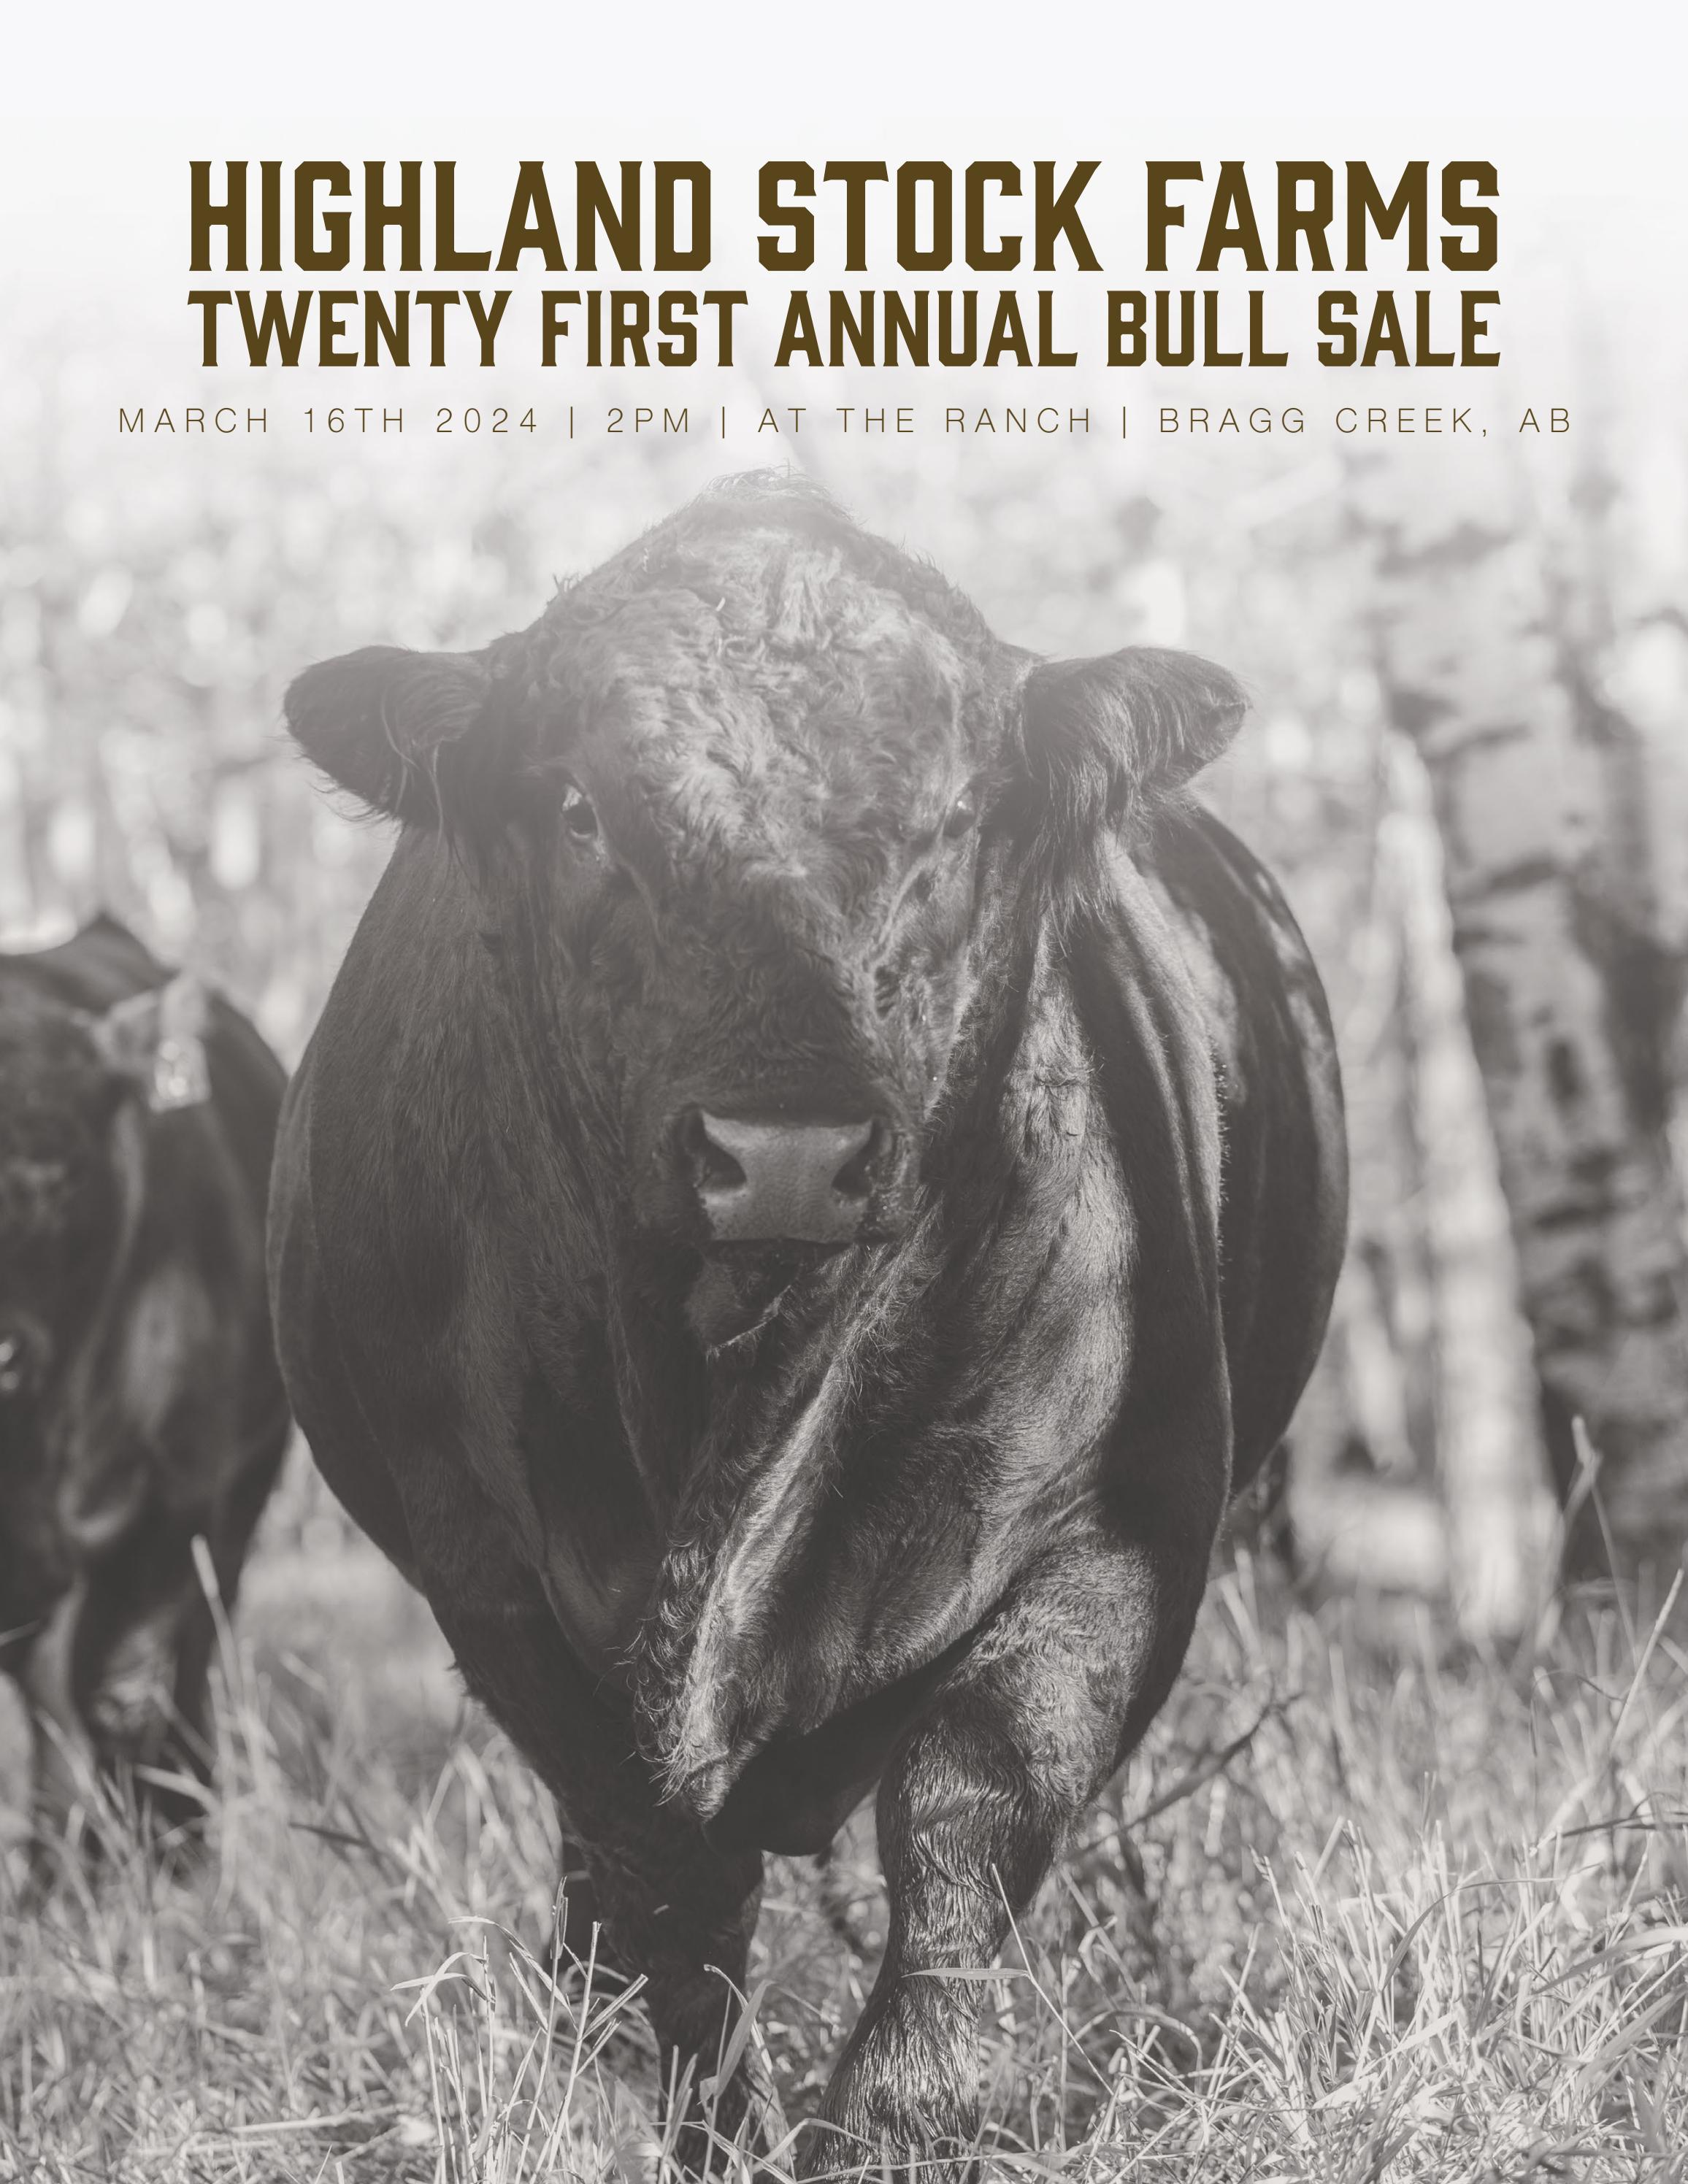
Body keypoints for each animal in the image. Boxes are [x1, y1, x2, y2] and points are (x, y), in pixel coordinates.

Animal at [271, 474, 1346, 2176]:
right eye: (580, 812)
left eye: (961, 819)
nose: (783, 1147)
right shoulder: (487, 1571)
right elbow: (663, 1875)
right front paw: (703, 2116)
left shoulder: (1129, 1517)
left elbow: (970, 1806)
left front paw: (896, 2116)